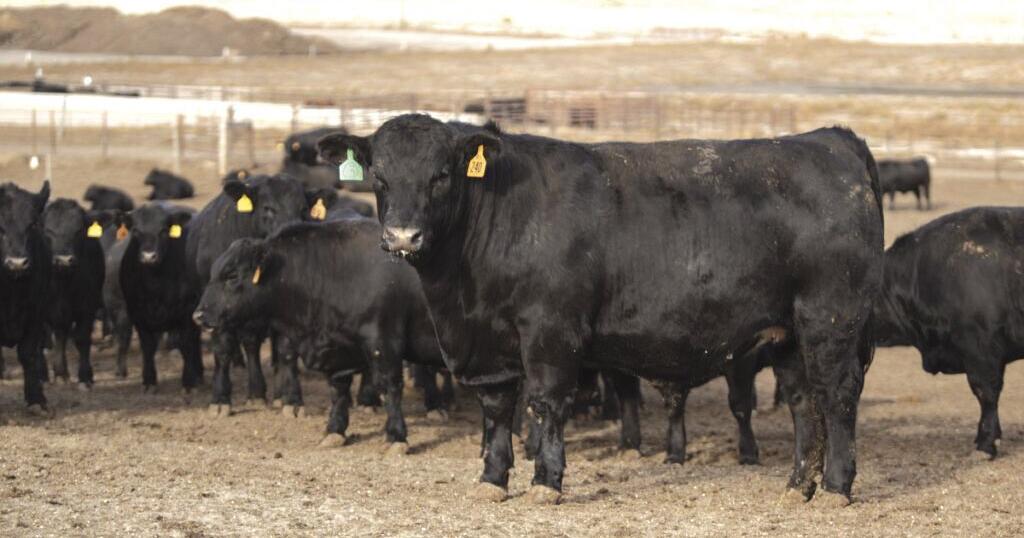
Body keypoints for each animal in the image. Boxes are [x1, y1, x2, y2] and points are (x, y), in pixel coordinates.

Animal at [41, 199, 105, 389]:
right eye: (48, 231)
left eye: (78, 231)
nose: (64, 260)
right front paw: (54, 374)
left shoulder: (87, 307)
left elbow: (82, 338)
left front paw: (84, 377)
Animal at [118, 202, 202, 392]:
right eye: (136, 231)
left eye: (163, 230)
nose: (149, 256)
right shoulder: (138, 313)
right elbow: (148, 347)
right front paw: (149, 381)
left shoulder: (186, 312)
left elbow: (186, 343)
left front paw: (188, 381)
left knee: (195, 340)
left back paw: (198, 374)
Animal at [193, 219, 450, 452]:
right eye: (212, 274)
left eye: (232, 276)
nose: (198, 315)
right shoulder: (339, 349)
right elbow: (338, 390)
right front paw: (335, 430)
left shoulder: (384, 344)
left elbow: (389, 387)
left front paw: (396, 436)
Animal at [318, 115, 883, 505]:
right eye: (378, 176)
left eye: (440, 175)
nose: (402, 237)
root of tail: (832, 140)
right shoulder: (489, 345)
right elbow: (497, 410)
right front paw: (492, 479)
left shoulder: (549, 330)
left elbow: (545, 404)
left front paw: (546, 481)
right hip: (788, 334)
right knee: (804, 404)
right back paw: (798, 486)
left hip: (830, 320)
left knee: (837, 397)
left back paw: (836, 488)